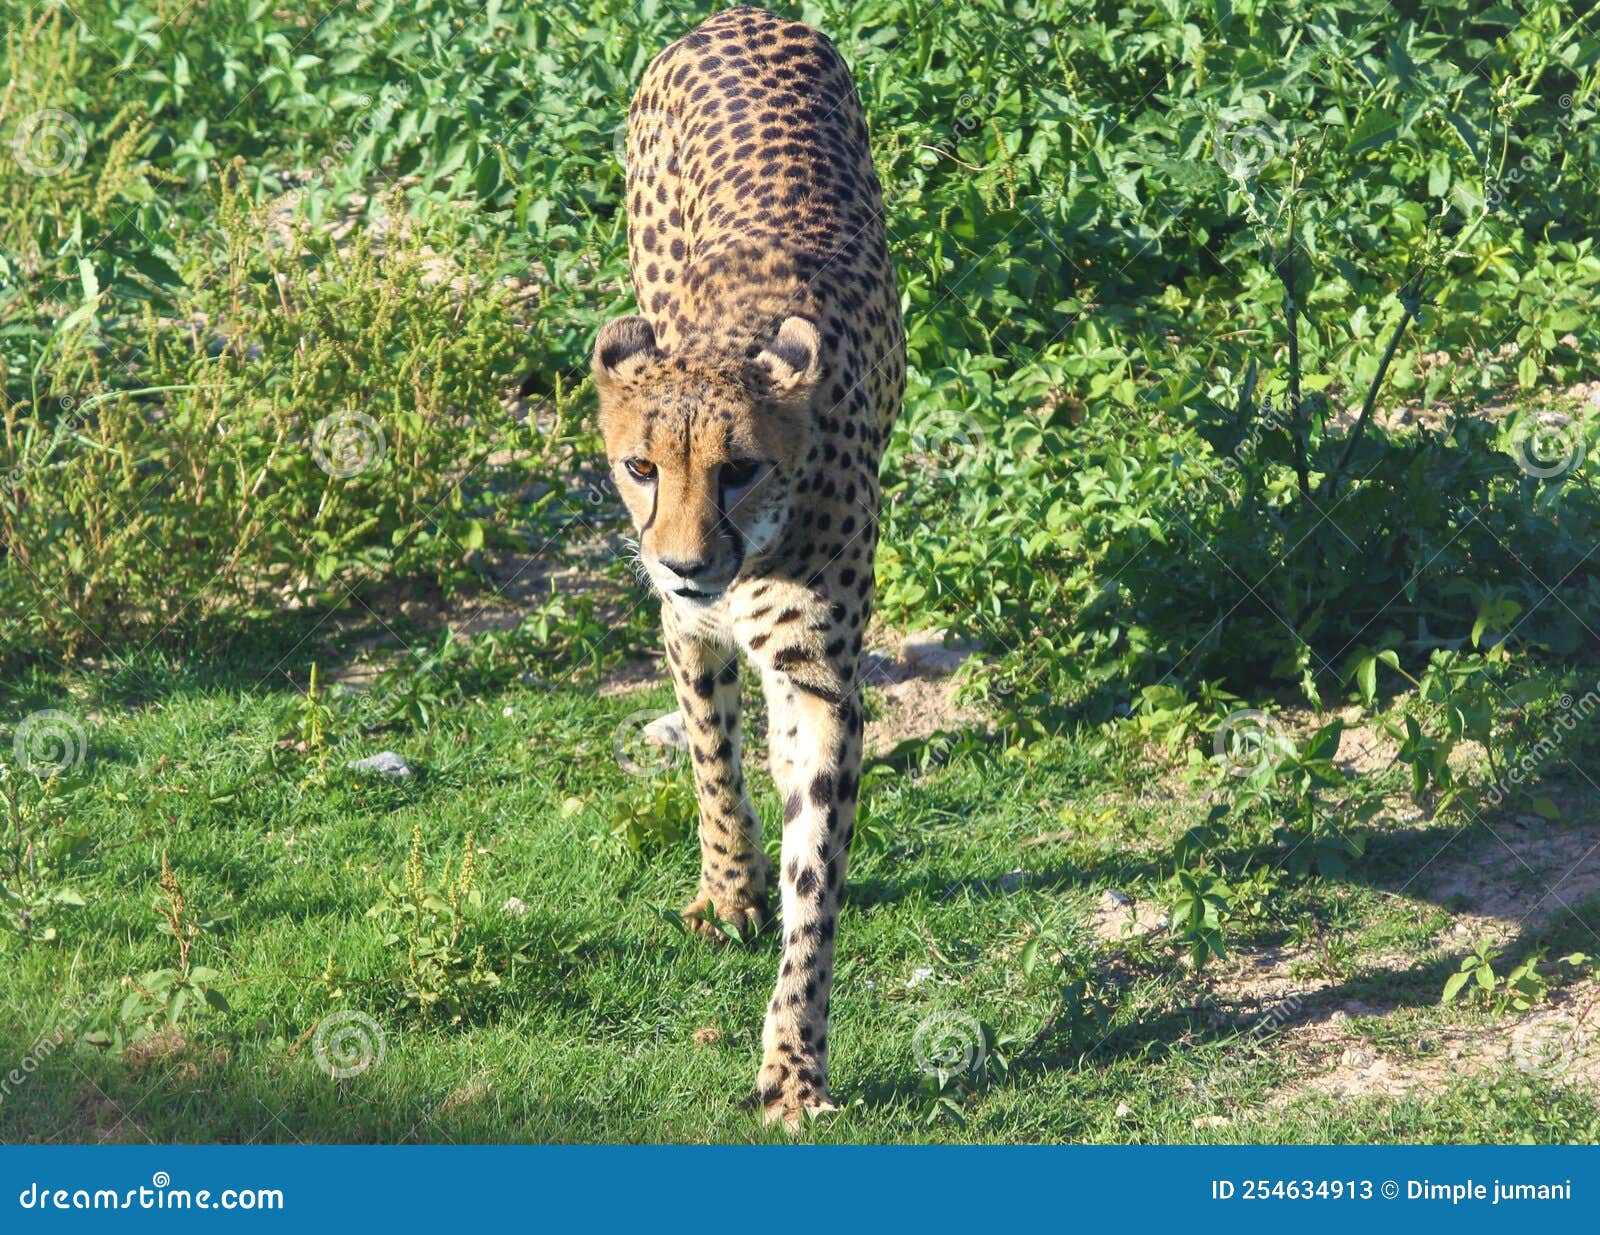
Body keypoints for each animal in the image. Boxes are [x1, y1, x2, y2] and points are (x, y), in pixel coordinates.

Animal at [591, 5, 904, 1126]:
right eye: (640, 466)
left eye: (740, 468)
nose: (685, 560)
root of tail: (741, 16)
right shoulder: (684, 623)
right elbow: (705, 755)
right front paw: (729, 892)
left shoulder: (822, 677)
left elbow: (817, 879)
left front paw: (794, 1064)